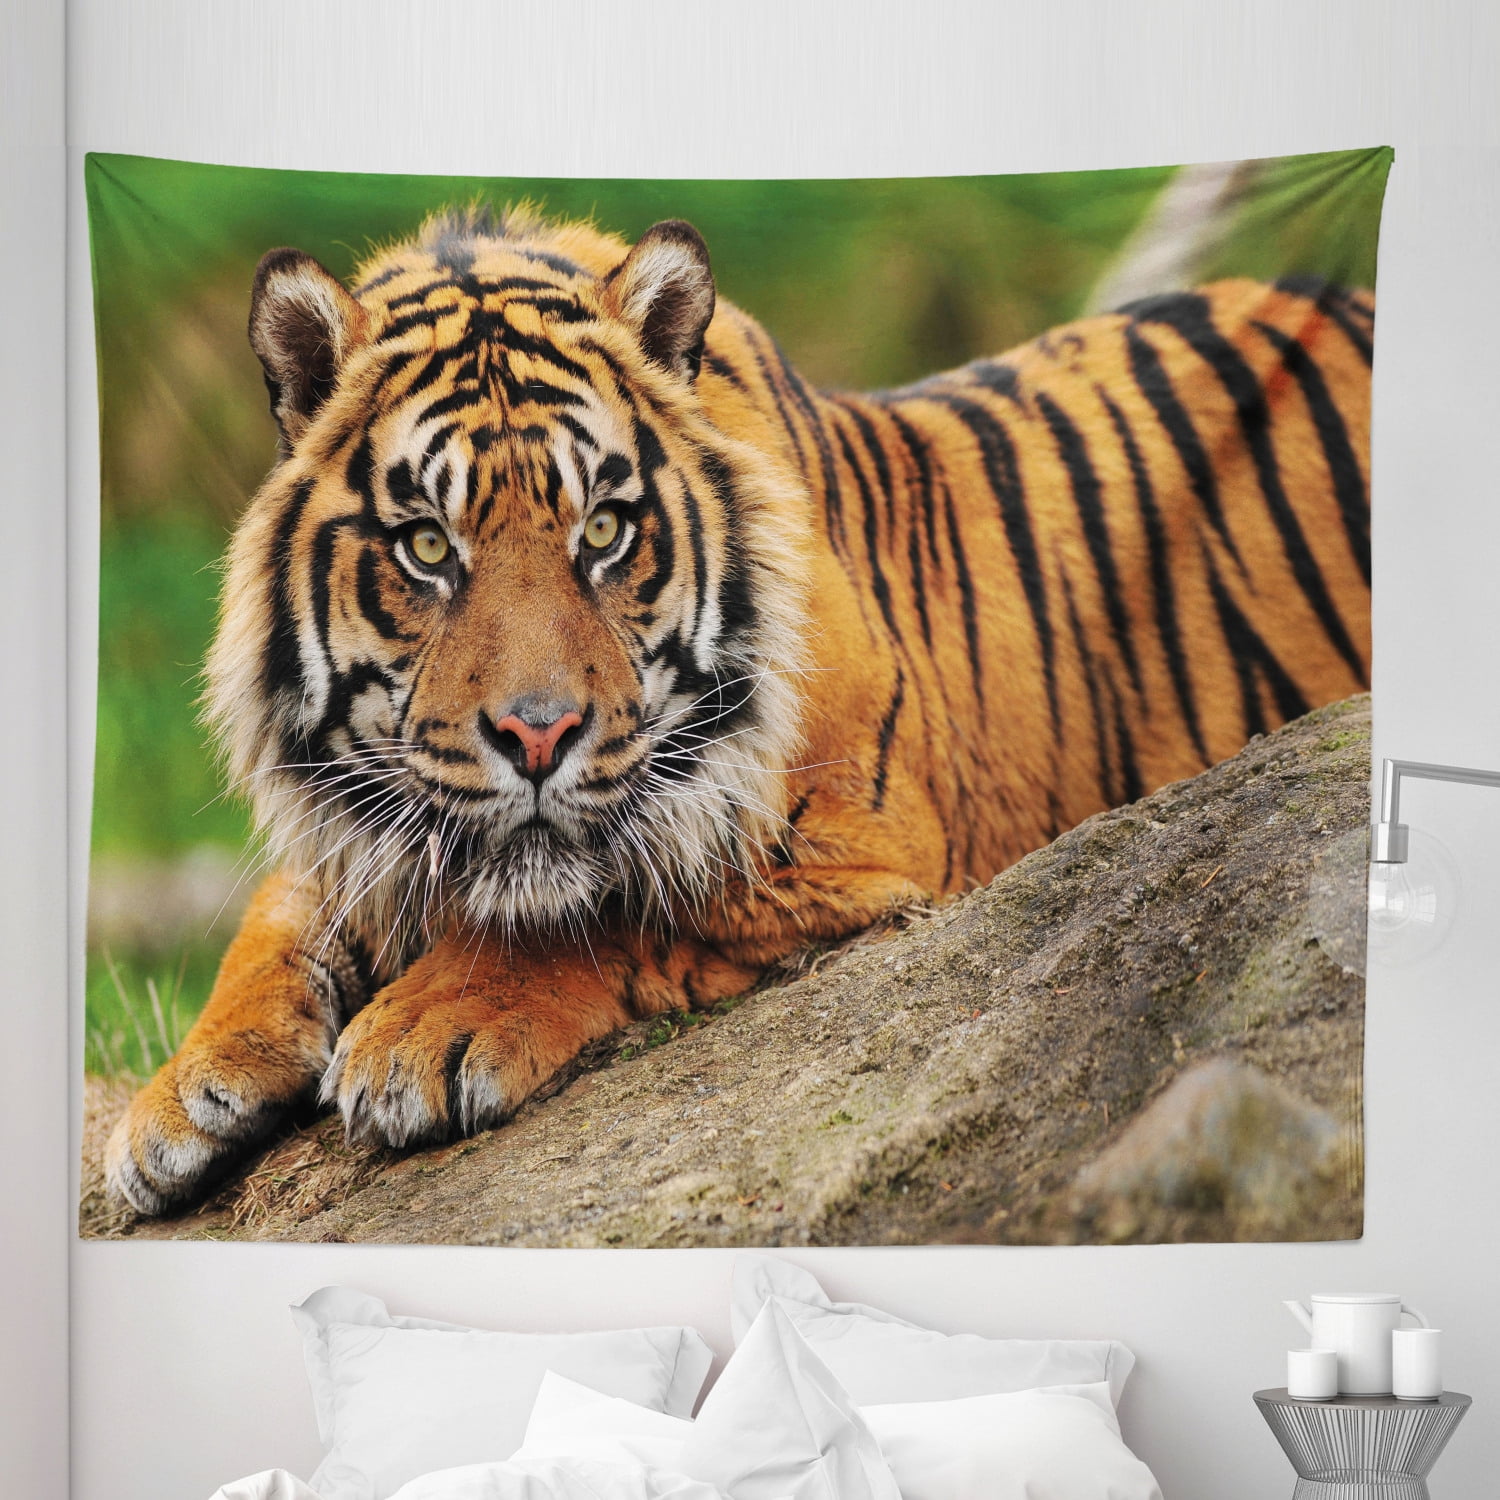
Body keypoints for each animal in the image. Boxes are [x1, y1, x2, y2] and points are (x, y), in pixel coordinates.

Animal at [105, 206, 1373, 1215]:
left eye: (603, 530)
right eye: (427, 547)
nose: (536, 736)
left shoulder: (854, 846)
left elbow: (605, 904)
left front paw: (426, 1029)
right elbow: (284, 907)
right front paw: (179, 1101)